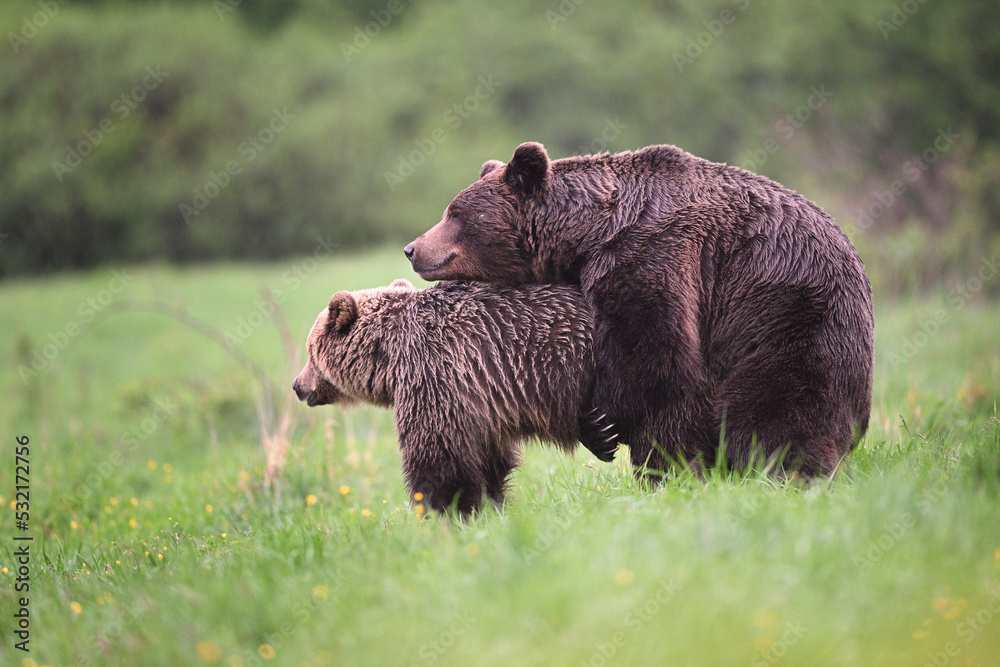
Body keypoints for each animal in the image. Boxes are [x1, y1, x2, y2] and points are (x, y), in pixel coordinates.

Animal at [291, 279, 617, 515]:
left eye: (309, 352)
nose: (297, 385)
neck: (390, 357)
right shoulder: (479, 404)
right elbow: (490, 463)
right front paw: (491, 507)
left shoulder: (437, 378)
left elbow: (439, 462)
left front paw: (443, 513)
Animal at [404, 142, 875, 478]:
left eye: (455, 213)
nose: (412, 249)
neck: (589, 234)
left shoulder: (654, 256)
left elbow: (652, 353)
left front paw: (609, 428)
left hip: (791, 318)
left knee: (776, 409)